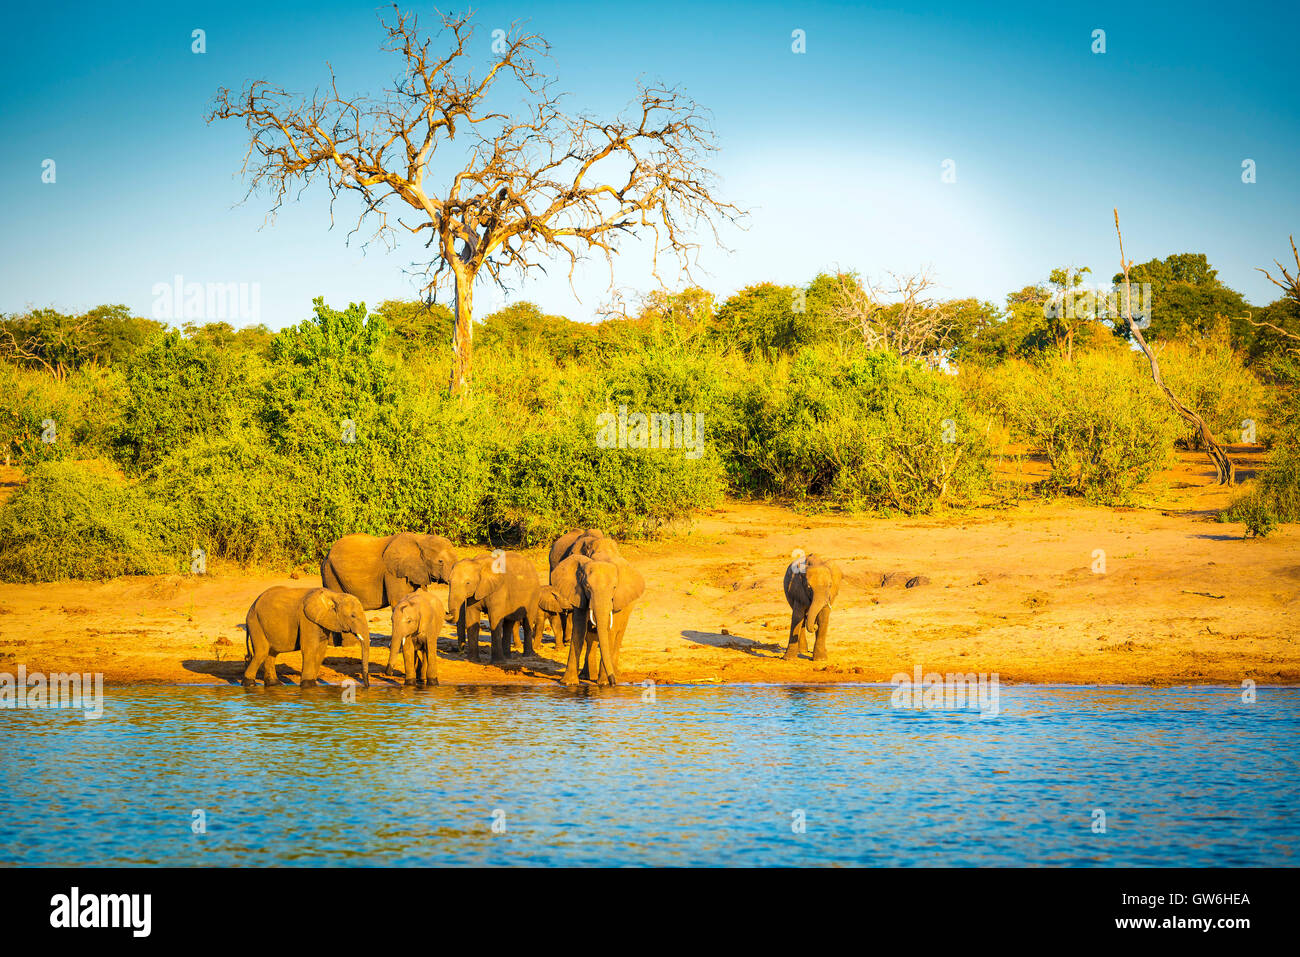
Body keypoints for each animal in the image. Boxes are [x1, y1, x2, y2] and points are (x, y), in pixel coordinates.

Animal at [561, 556, 644, 686]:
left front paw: (604, 683)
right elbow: (579, 630)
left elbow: (610, 631)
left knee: (618, 635)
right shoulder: (578, 595)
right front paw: (569, 683)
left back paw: (615, 673)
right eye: (587, 586)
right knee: (591, 637)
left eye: (614, 587)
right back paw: (588, 676)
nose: (613, 683)